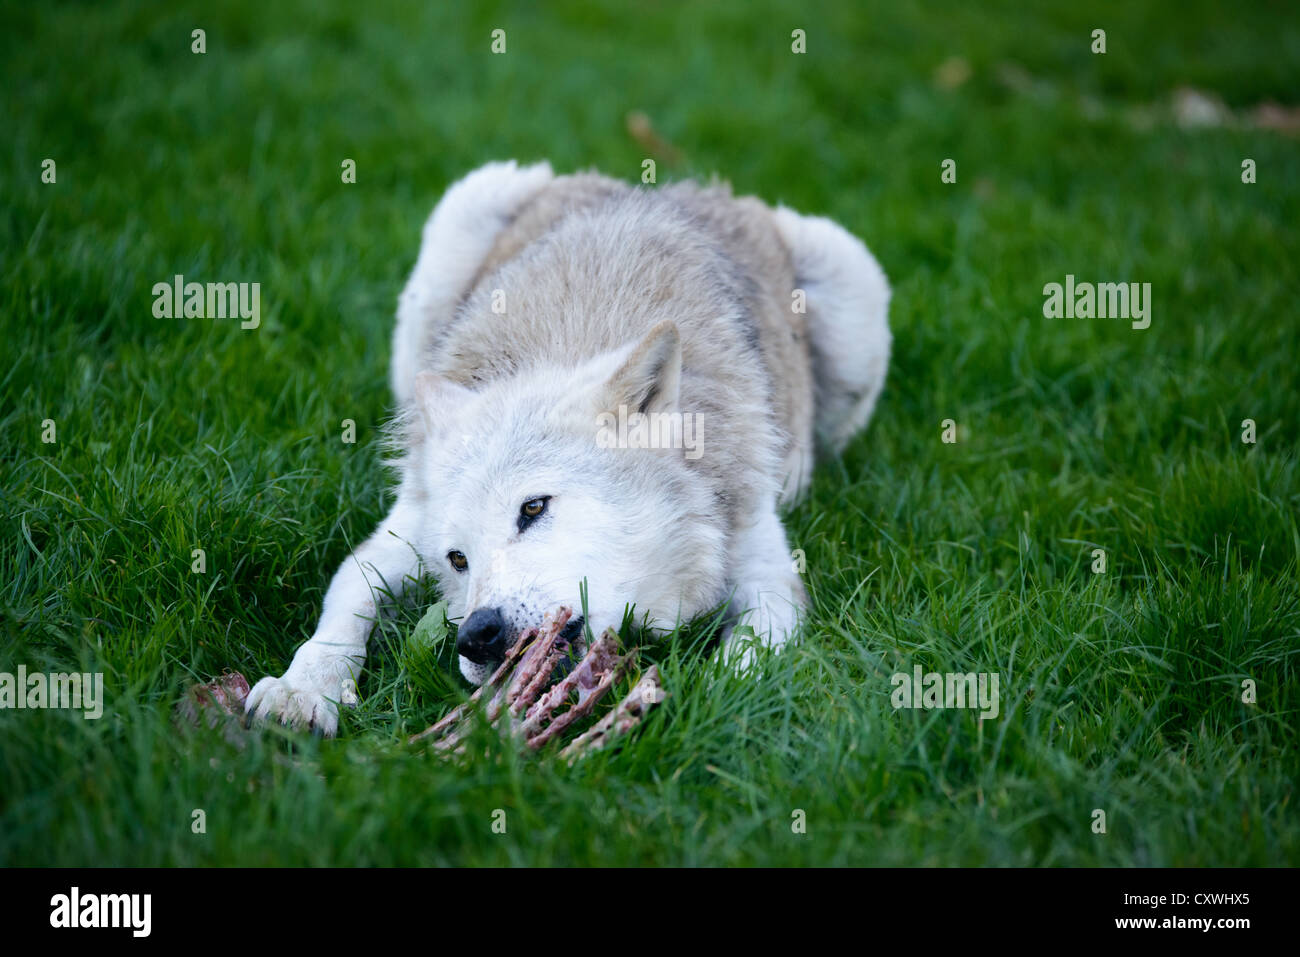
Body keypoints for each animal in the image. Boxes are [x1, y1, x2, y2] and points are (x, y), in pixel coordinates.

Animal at [244, 160, 891, 735]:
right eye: (458, 559)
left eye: (534, 508)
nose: (475, 637)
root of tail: (660, 185)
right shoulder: (394, 538)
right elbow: (345, 602)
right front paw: (302, 692)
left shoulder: (767, 571)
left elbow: (740, 670)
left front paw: (690, 706)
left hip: (853, 287)